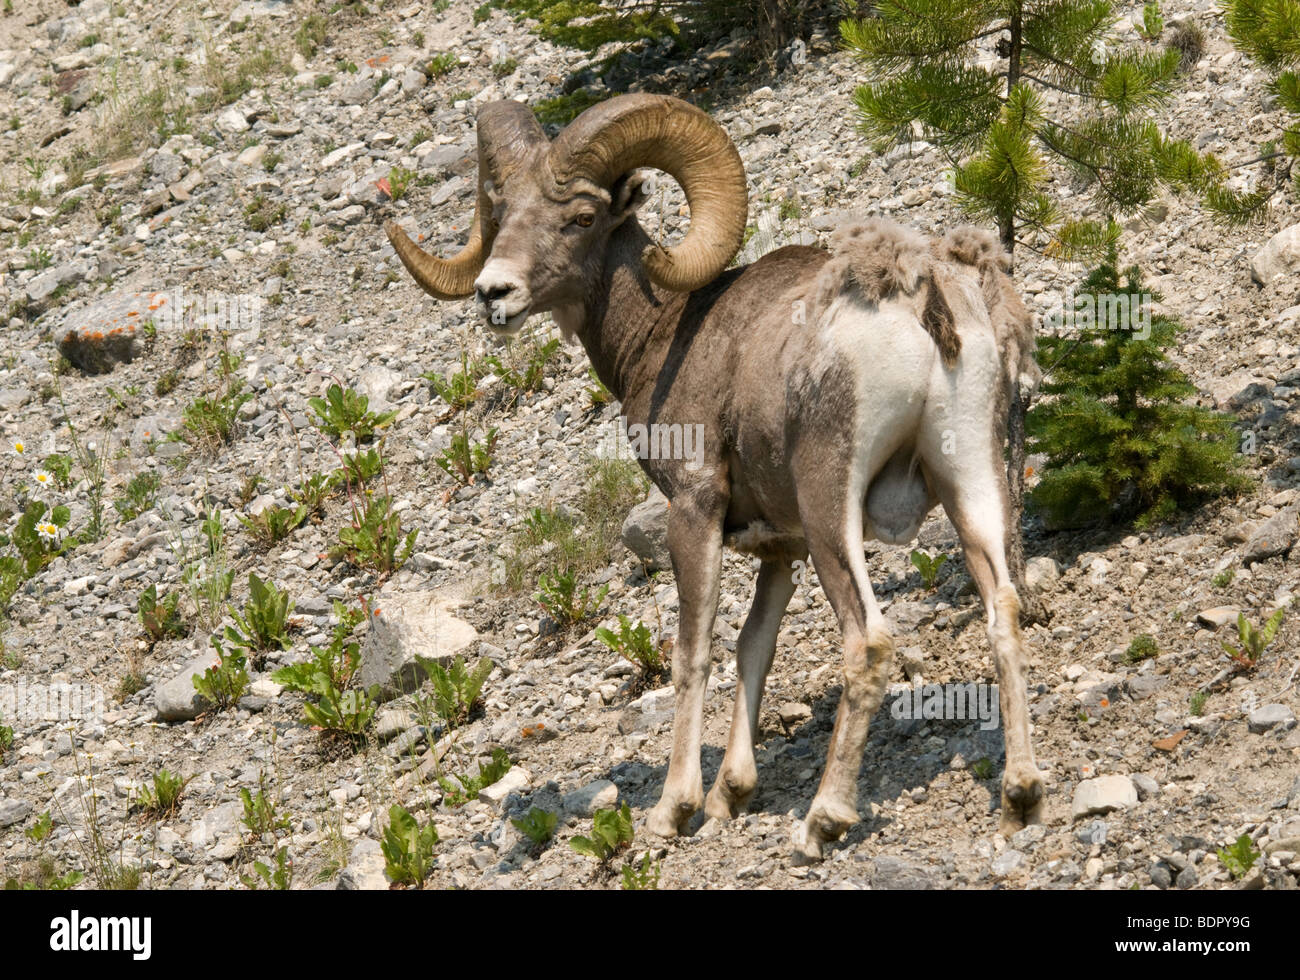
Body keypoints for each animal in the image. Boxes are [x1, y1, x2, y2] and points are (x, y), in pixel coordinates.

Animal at [385, 94, 1043, 862]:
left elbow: (694, 653)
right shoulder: (779, 547)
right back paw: (1021, 799)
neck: (665, 331)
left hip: (833, 507)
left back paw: (822, 821)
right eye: (505, 210)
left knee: (870, 642)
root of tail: (923, 297)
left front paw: (674, 810)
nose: (495, 293)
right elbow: (753, 648)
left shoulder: (695, 512)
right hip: (968, 479)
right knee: (1003, 608)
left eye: (580, 217)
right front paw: (731, 797)